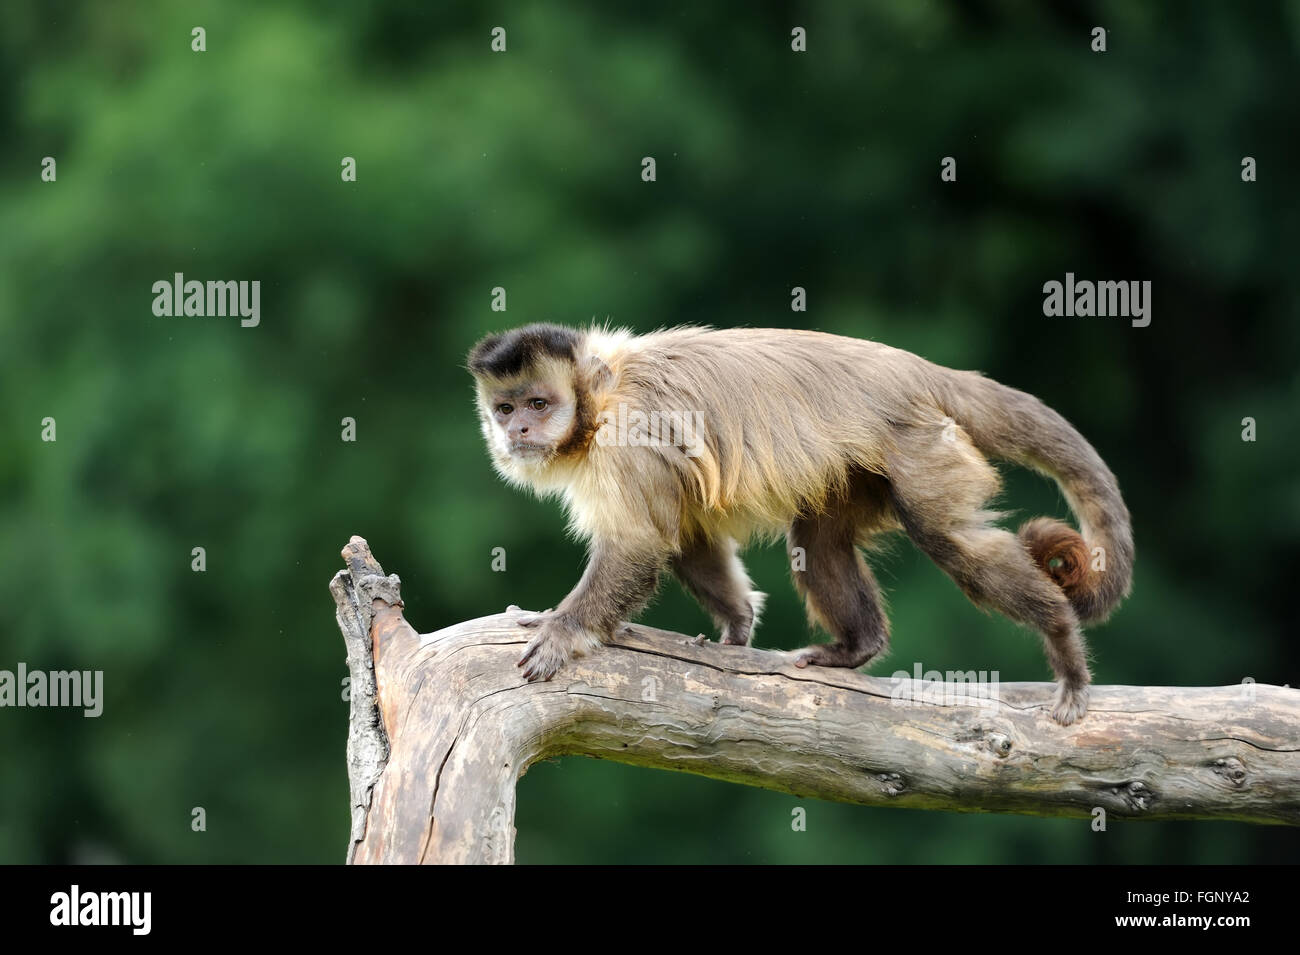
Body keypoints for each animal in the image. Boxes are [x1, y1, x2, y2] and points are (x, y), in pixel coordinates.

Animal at [467, 323, 1133, 725]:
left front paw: (563, 630)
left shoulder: (626, 439)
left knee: (949, 538)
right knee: (819, 539)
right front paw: (736, 628)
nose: (516, 429)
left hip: (919, 441)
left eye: (539, 404)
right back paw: (856, 648)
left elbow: (637, 543)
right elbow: (686, 537)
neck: (602, 396)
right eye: (505, 407)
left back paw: (1062, 640)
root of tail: (916, 370)